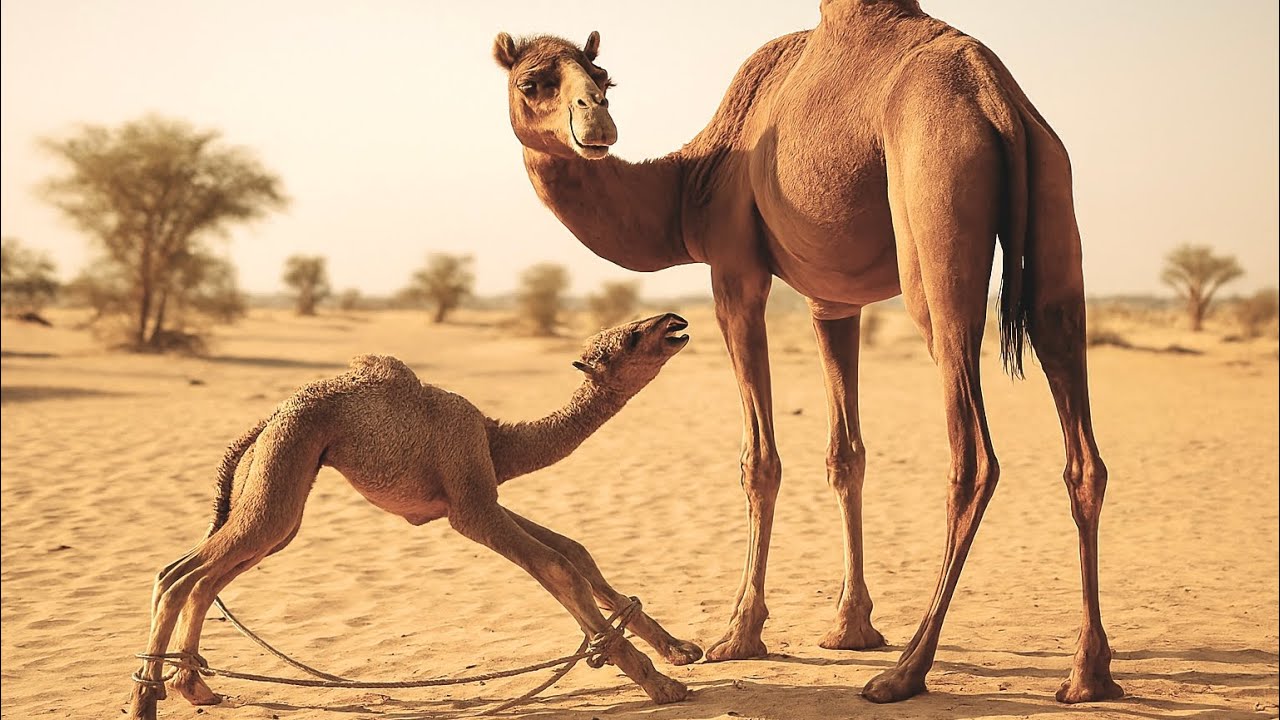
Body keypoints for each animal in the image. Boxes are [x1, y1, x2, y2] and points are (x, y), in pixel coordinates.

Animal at [128, 313, 701, 720]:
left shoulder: (479, 489)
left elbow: (573, 550)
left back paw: (193, 687)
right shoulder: (470, 499)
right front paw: (663, 685)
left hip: (275, 478)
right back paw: (145, 700)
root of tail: (271, 414)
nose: (673, 322)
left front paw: (679, 650)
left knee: (203, 576)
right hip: (282, 462)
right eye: (632, 338)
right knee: (181, 575)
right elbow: (556, 566)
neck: (498, 438)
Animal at [492, 0, 1121, 704]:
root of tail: (997, 100)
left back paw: (906, 670)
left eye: (601, 77)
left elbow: (759, 461)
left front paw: (739, 634)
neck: (692, 181)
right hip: (1055, 205)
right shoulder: (832, 302)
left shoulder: (734, 271)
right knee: (1080, 436)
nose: (596, 121)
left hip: (936, 219)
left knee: (973, 454)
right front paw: (850, 627)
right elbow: (846, 456)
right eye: (533, 81)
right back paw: (1087, 672)